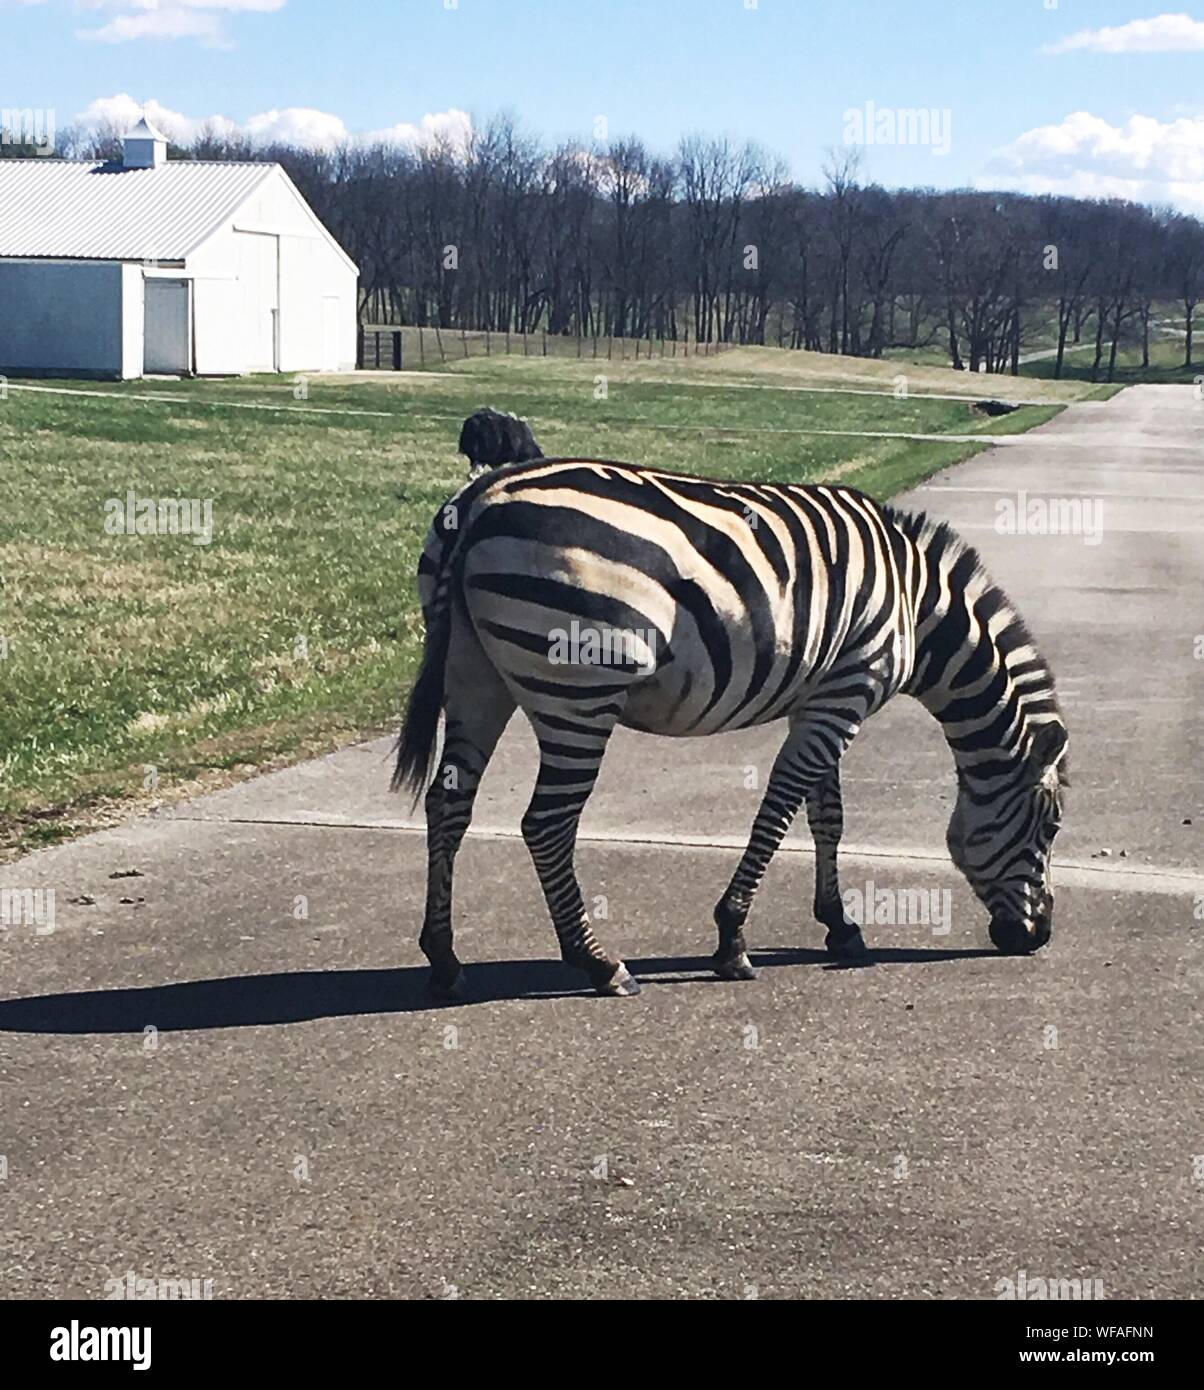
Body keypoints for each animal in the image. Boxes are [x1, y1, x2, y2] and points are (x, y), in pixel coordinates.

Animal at [395, 456, 1069, 1000]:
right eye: (1052, 828)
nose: (1038, 937)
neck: (915, 606)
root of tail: (484, 497)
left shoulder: (824, 696)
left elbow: (827, 815)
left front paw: (840, 925)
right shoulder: (846, 692)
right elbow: (780, 811)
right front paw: (733, 940)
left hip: (475, 678)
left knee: (449, 805)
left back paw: (445, 959)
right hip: (577, 698)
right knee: (546, 825)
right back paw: (598, 963)